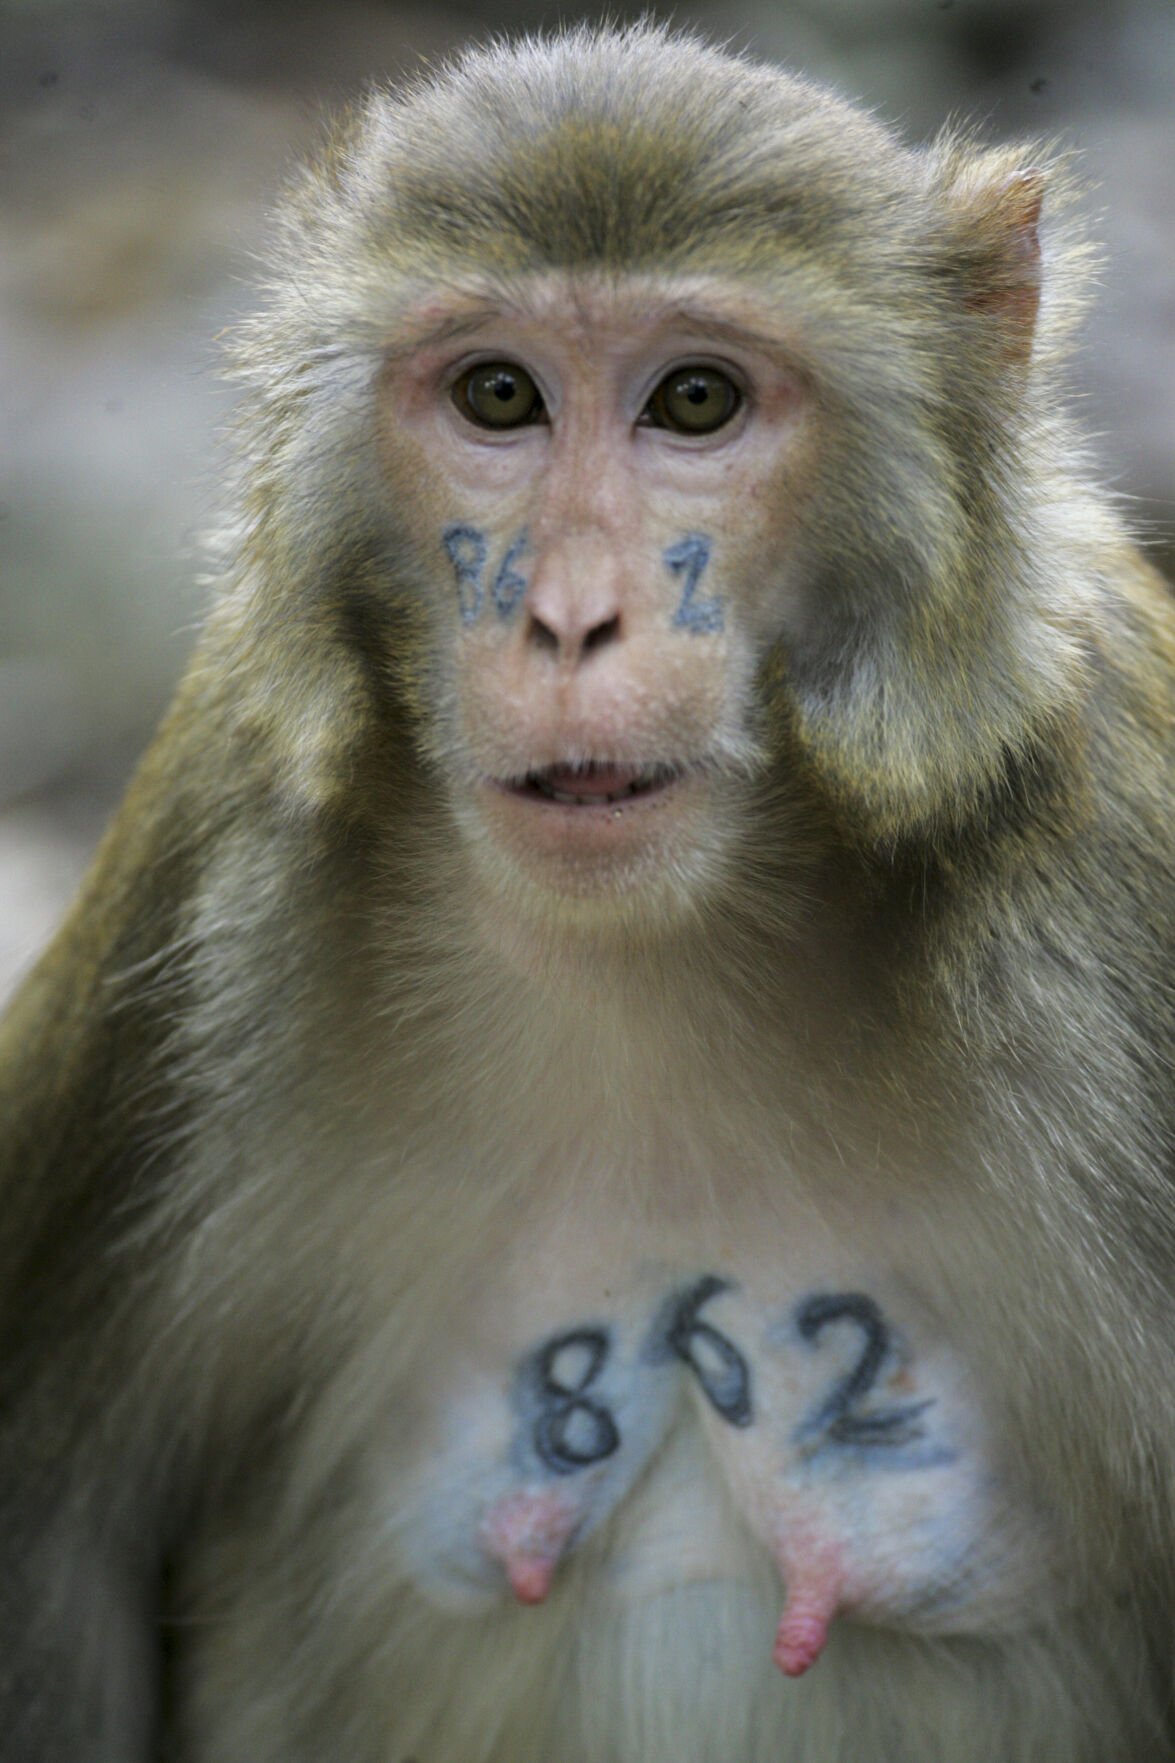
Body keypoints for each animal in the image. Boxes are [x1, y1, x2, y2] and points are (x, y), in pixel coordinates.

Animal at [1, 21, 1174, 1763]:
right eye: (497, 393)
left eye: (695, 399)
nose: (563, 616)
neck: (661, 945)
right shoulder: (225, 838)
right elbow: (48, 1530)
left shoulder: (1112, 886)